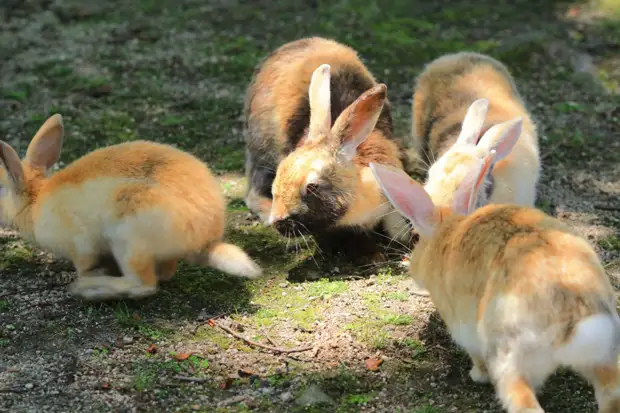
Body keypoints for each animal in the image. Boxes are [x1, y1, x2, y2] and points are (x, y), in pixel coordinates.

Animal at [0, 112, 262, 300]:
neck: (34, 200)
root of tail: (207, 242)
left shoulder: (81, 246)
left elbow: (84, 264)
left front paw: (86, 277)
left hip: (128, 238)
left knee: (144, 285)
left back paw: (91, 289)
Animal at [242, 36, 412, 260]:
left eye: (312, 186)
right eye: (279, 175)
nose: (278, 221)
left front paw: (402, 240)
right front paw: (371, 255)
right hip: (260, 150)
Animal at [370, 155, 620, 412]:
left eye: (417, 238)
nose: (412, 267)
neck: (448, 231)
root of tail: (572, 312)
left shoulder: (463, 328)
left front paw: (476, 374)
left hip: (508, 355)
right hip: (604, 358)